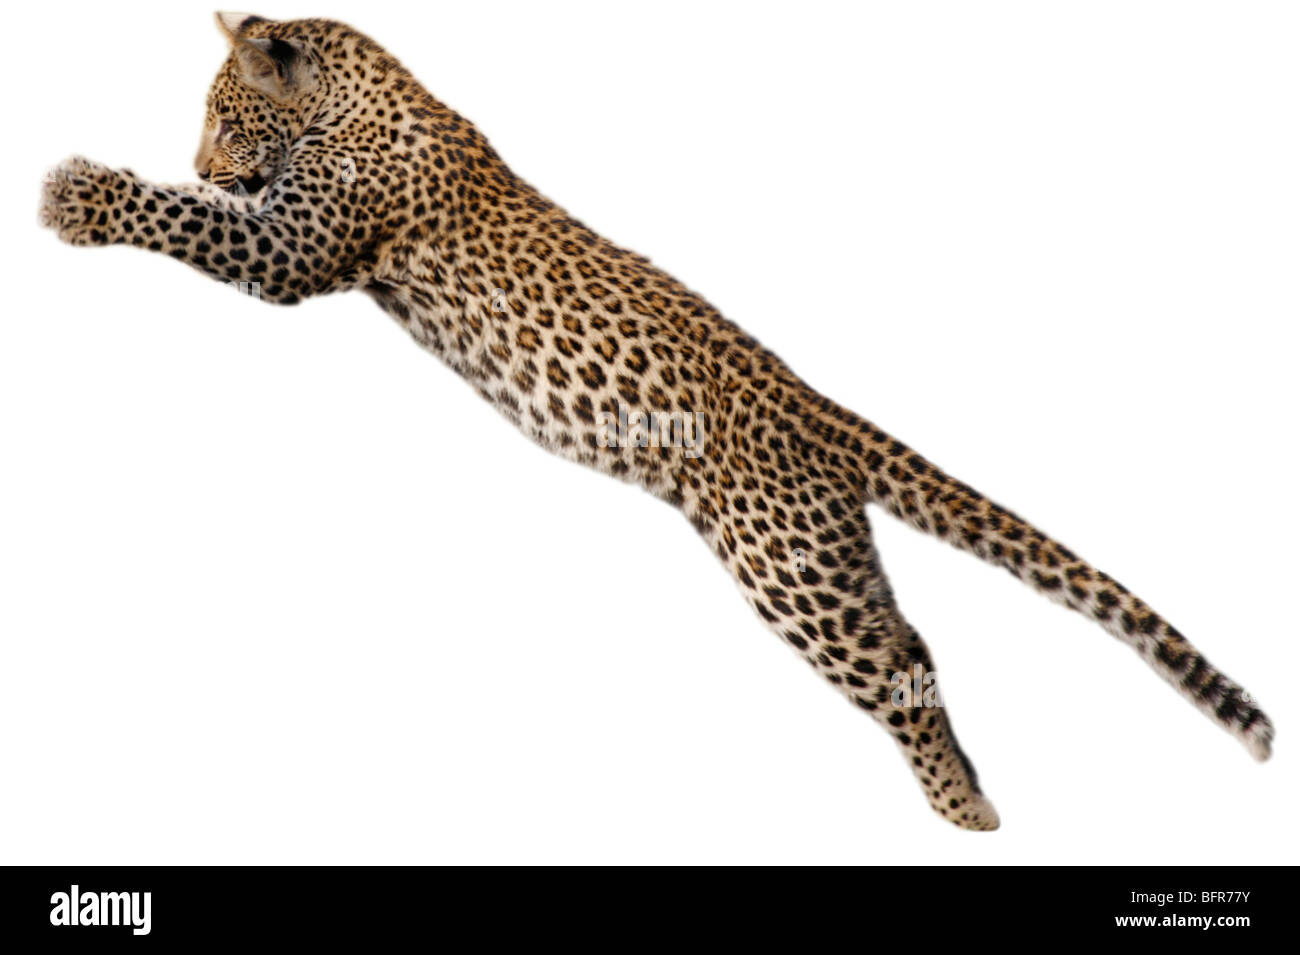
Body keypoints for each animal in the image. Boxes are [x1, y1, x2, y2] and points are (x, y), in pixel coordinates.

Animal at [39, 12, 1274, 830]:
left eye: (222, 111)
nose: (202, 151)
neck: (368, 91)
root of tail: (810, 403)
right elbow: (200, 213)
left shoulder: (296, 245)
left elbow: (187, 218)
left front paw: (79, 193)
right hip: (824, 551)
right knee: (912, 643)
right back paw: (967, 793)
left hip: (787, 564)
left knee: (897, 669)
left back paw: (960, 807)